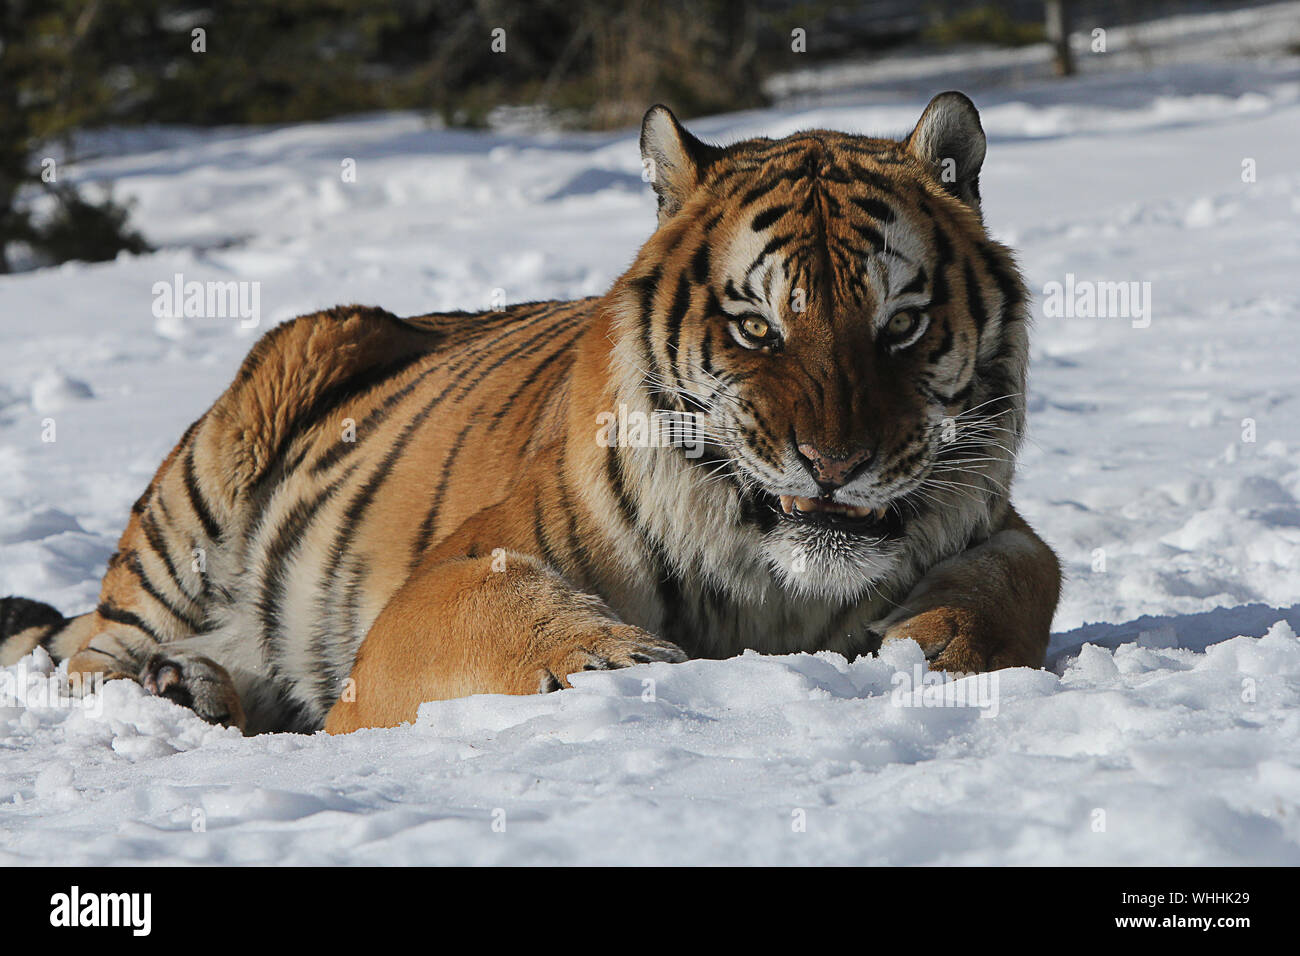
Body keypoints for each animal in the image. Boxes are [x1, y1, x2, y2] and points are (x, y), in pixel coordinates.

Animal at [0, 92, 1060, 735]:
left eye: (902, 323)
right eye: (757, 327)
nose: (834, 464)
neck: (776, 583)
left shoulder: (1004, 525)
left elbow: (1022, 579)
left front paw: (931, 645)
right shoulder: (446, 578)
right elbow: (505, 614)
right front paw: (613, 661)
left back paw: (198, 686)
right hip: (211, 488)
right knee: (90, 658)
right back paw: (167, 689)